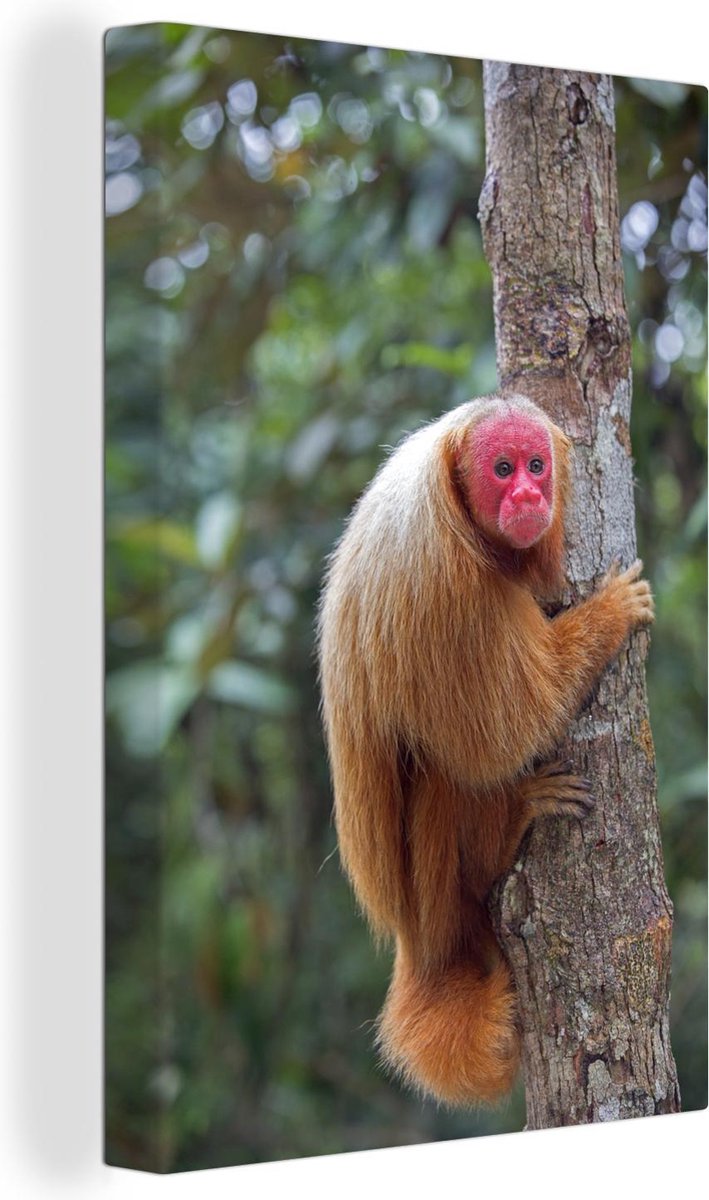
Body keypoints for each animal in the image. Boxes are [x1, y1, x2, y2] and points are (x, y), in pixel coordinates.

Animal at [317, 393, 654, 1108]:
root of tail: (421, 946)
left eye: (535, 465)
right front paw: (610, 615)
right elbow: (507, 729)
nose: (527, 494)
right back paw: (513, 819)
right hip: (438, 891)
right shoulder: (444, 583)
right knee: (448, 765)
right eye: (502, 470)